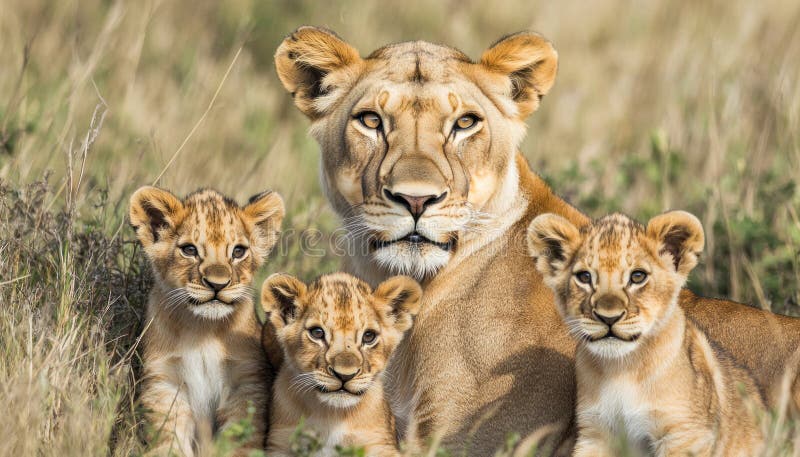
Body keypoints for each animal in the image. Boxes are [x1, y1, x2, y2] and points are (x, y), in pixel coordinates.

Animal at [129, 187, 284, 456]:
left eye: (238, 252)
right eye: (190, 250)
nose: (217, 284)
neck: (202, 328)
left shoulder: (246, 382)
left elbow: (241, 439)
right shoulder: (164, 382)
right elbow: (169, 438)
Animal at [260, 272, 421, 457]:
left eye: (369, 336)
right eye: (317, 333)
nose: (345, 375)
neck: (332, 414)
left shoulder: (380, 443)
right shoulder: (279, 443)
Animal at [528, 211, 765, 456]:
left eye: (637, 276)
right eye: (584, 277)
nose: (608, 317)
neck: (621, 369)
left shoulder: (684, 434)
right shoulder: (595, 434)